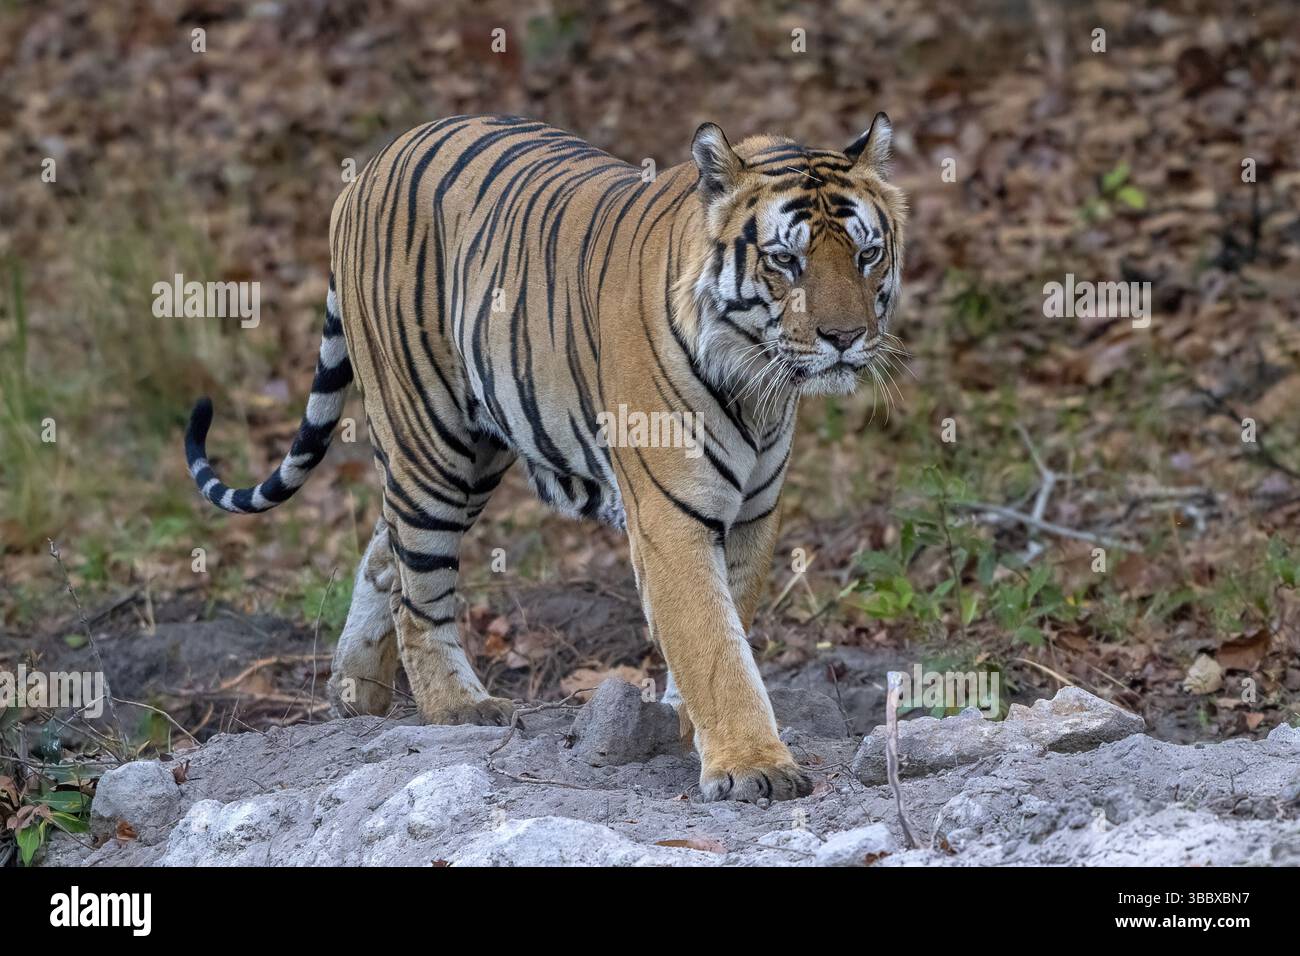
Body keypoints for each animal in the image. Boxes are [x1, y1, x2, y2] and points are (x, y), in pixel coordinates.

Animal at [184, 113, 906, 802]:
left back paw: (355, 689)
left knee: (385, 550)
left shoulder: (755, 513)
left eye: (868, 254)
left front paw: (685, 725)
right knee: (418, 588)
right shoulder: (672, 516)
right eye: (786, 260)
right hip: (430, 439)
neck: (756, 380)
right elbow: (712, 645)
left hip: (479, 451)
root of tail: (370, 167)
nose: (846, 338)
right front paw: (752, 765)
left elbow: (726, 626)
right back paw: (458, 706)